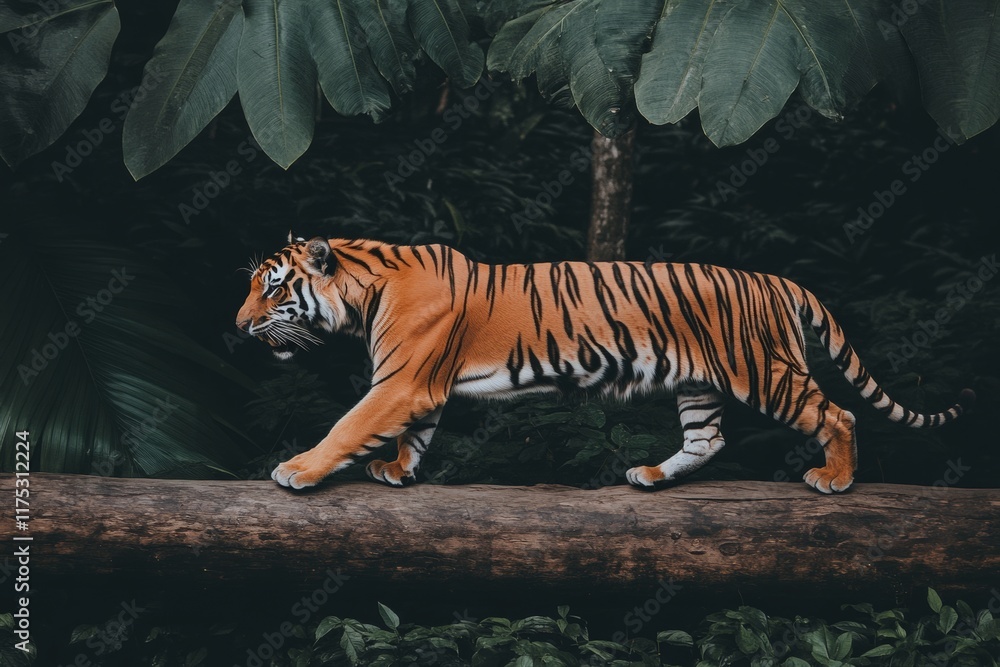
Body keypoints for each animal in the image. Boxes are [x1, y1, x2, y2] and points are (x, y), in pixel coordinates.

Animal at [236, 235, 975, 493]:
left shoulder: (402, 381)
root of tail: (775, 279)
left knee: (837, 412)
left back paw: (836, 479)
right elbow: (414, 434)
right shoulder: (421, 387)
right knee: (708, 440)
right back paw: (652, 475)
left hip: (763, 372)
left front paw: (298, 470)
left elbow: (348, 424)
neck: (364, 289)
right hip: (699, 384)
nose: (240, 325)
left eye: (272, 288)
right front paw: (397, 470)